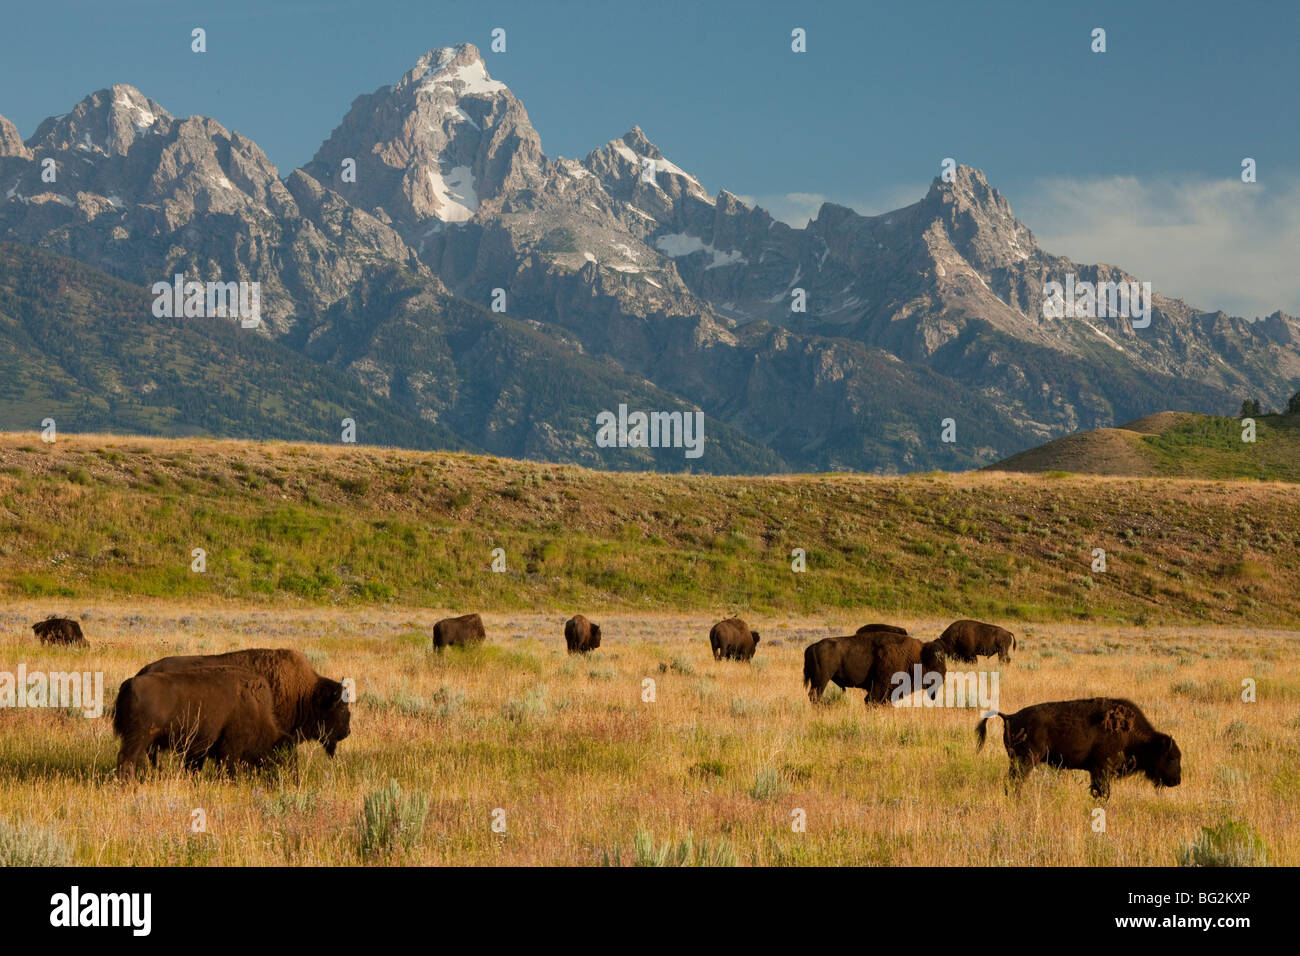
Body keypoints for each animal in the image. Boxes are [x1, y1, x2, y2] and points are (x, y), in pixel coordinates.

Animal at [114, 666, 293, 778]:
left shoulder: (197, 749)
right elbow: (228, 767)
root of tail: (129, 684)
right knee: (126, 759)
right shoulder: (229, 747)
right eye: (280, 757)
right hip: (139, 738)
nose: (291, 779)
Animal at [804, 630, 945, 704]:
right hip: (821, 680)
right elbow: (872, 700)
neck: (915, 656)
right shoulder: (880, 686)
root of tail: (813, 646)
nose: (943, 676)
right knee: (815, 696)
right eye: (934, 665)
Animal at [976, 697, 1181, 798]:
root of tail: (1010, 716)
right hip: (1025, 761)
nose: (1177, 781)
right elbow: (1102, 793)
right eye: (1171, 757)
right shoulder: (1101, 770)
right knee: (1016, 782)